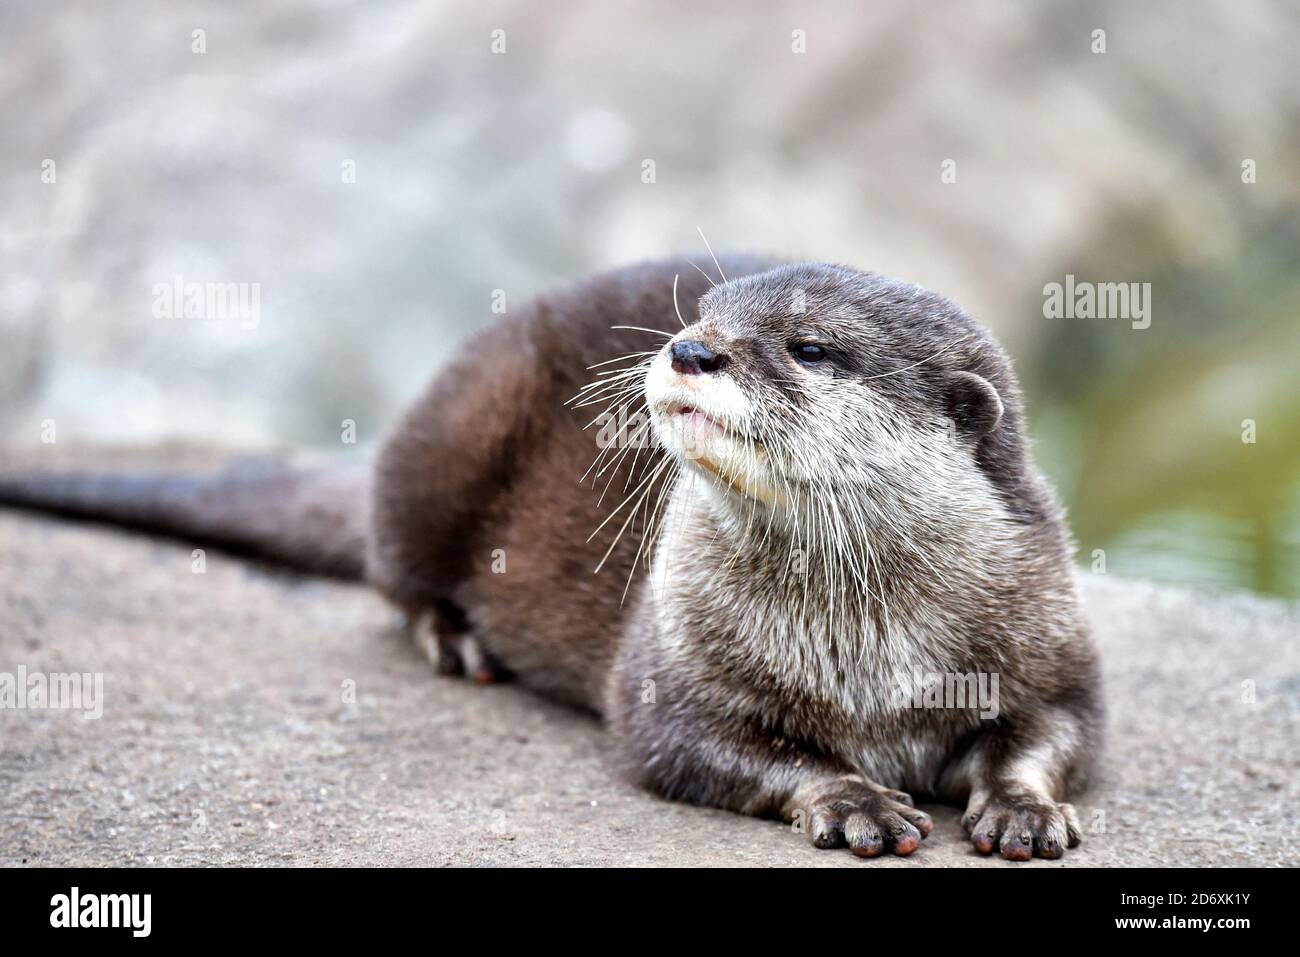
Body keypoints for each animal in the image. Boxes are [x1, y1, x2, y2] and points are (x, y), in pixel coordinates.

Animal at [0, 255, 1102, 861]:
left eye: (812, 348)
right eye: (707, 310)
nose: (691, 349)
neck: (869, 652)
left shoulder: (1049, 632)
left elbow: (1057, 735)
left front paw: (1020, 811)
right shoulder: (670, 662)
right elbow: (716, 748)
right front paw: (853, 799)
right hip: (447, 434)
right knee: (396, 572)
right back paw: (455, 638)